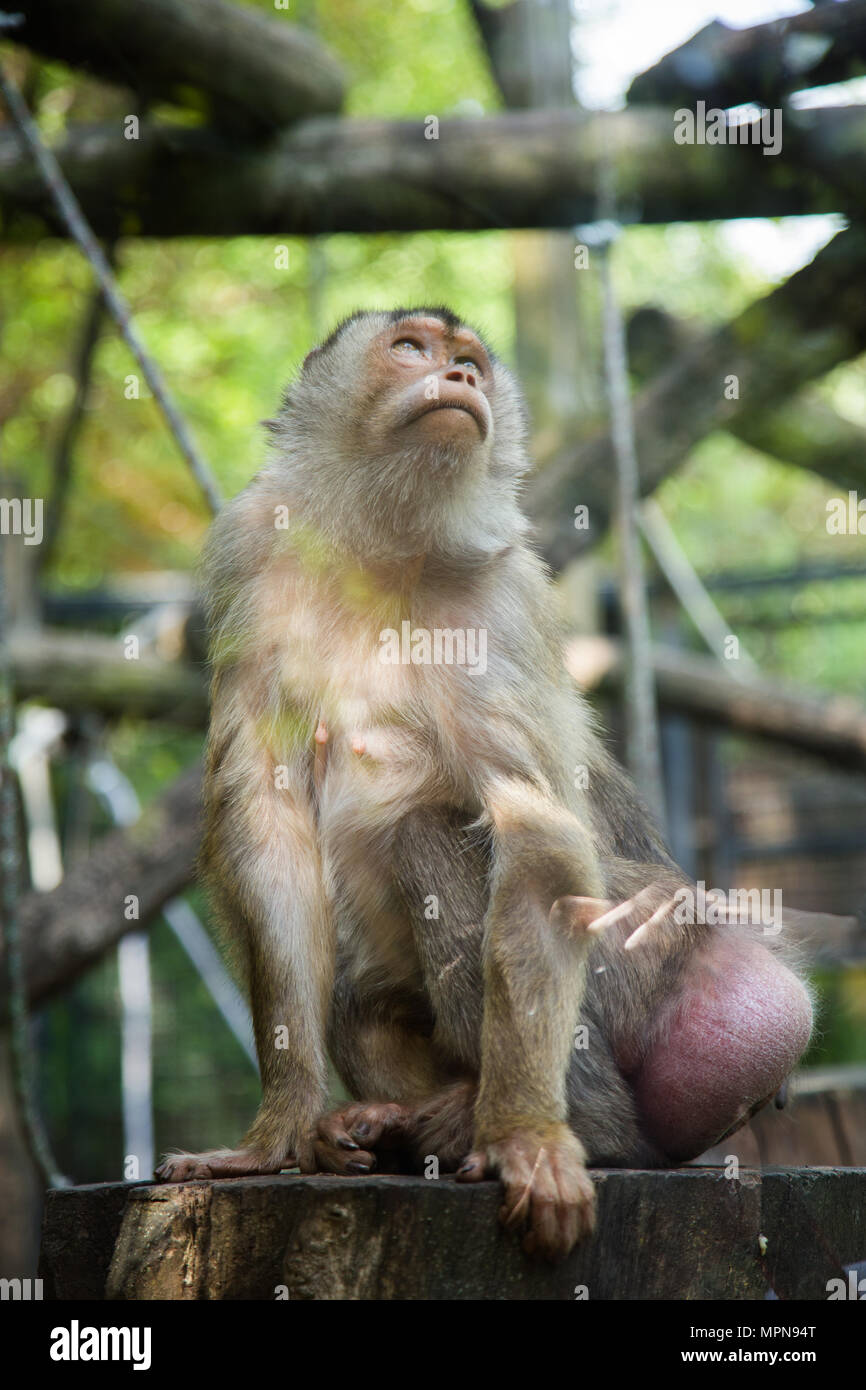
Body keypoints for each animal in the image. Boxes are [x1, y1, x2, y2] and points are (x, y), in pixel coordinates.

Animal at [156, 307, 814, 1261]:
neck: (382, 547)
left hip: (650, 952)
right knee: (353, 974)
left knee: (435, 837)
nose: (461, 380)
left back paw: (545, 1127)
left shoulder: (501, 598)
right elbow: (265, 820)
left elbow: (536, 834)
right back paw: (397, 1122)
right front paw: (278, 1128)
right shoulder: (251, 558)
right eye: (411, 350)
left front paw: (527, 1137)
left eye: (468, 360)